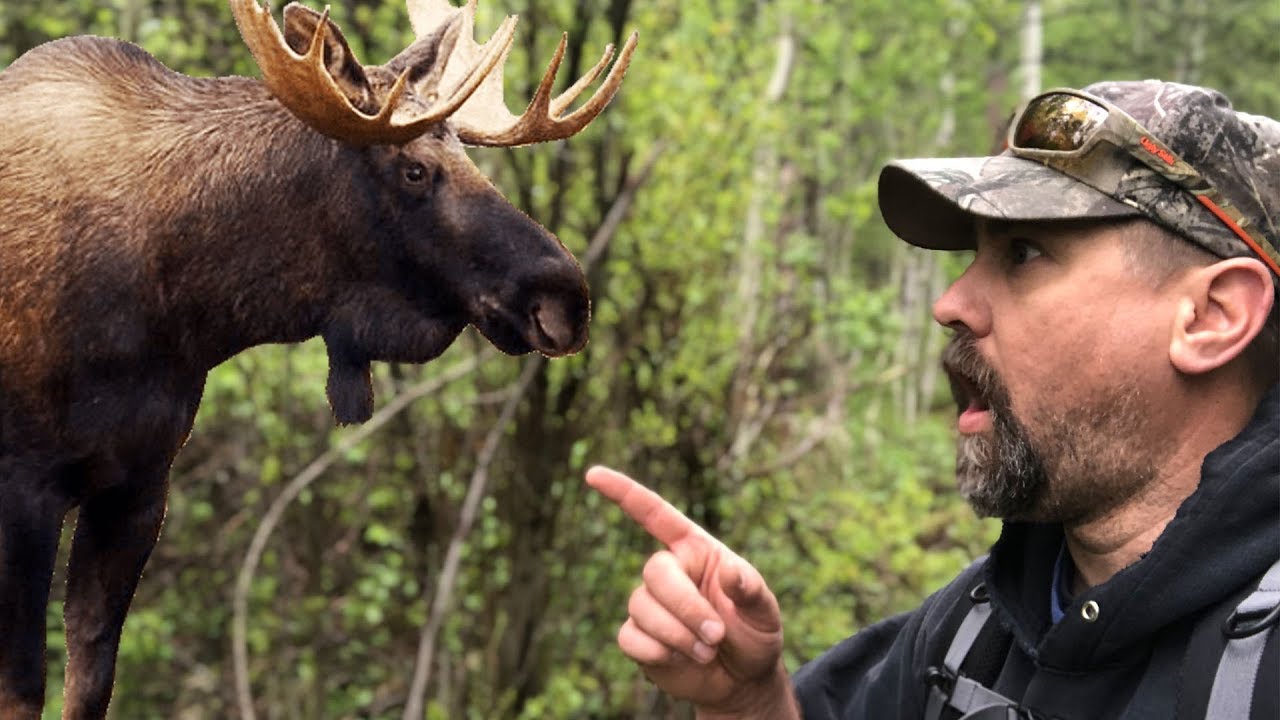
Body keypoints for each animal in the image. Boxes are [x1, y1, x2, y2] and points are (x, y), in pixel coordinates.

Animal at [0, 0, 635, 716]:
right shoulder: (24, 484)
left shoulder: (140, 483)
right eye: (412, 168)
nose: (566, 297)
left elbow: (92, 675)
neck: (184, 304)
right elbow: (23, 686)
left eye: (468, 156)